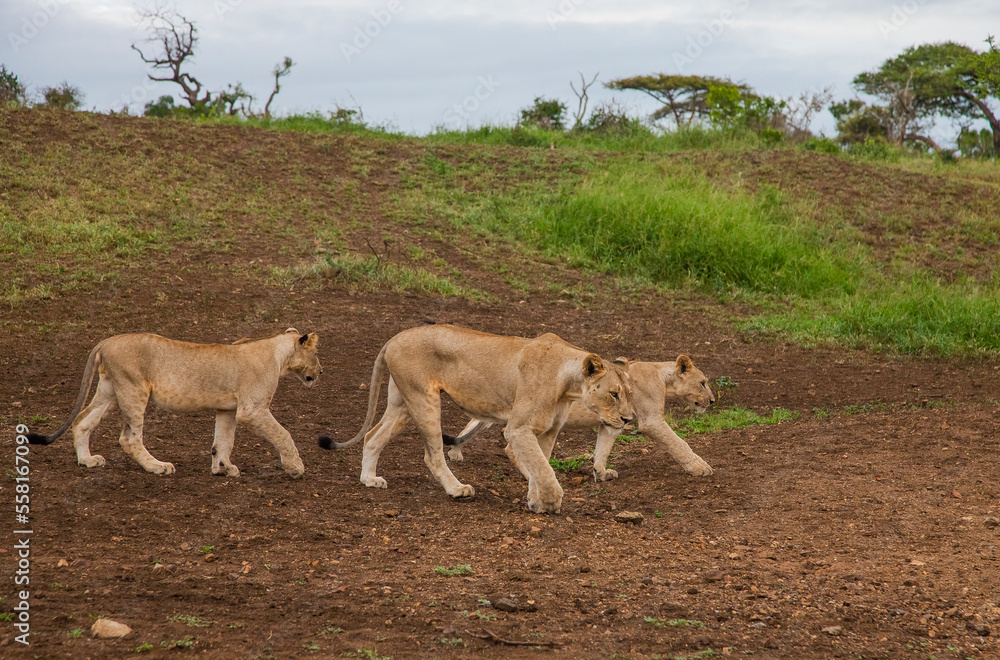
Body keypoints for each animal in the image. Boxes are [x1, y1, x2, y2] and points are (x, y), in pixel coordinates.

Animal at [27, 328, 321, 478]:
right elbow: (283, 434)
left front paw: (223, 468)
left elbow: (223, 441)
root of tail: (106, 341)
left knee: (81, 421)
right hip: (133, 389)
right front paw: (295, 467)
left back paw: (87, 461)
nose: (321, 371)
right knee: (129, 438)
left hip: (110, 390)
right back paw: (157, 466)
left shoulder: (227, 409)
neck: (278, 354)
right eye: (317, 353)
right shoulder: (251, 409)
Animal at [318, 324, 634, 513]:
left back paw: (369, 480)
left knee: (373, 437)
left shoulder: (547, 431)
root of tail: (395, 337)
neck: (568, 385)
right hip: (423, 399)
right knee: (432, 454)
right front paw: (551, 502)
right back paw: (457, 489)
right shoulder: (518, 429)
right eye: (614, 394)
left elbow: (540, 466)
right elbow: (544, 470)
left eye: (630, 393)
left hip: (402, 404)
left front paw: (535, 501)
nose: (629, 420)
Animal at [445, 355, 715, 481]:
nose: (713, 401)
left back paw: (455, 453)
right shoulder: (651, 421)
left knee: (472, 425)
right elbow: (678, 443)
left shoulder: (612, 422)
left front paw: (601, 473)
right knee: (510, 446)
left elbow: (603, 449)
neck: (661, 375)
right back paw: (531, 475)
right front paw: (699, 467)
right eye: (703, 383)